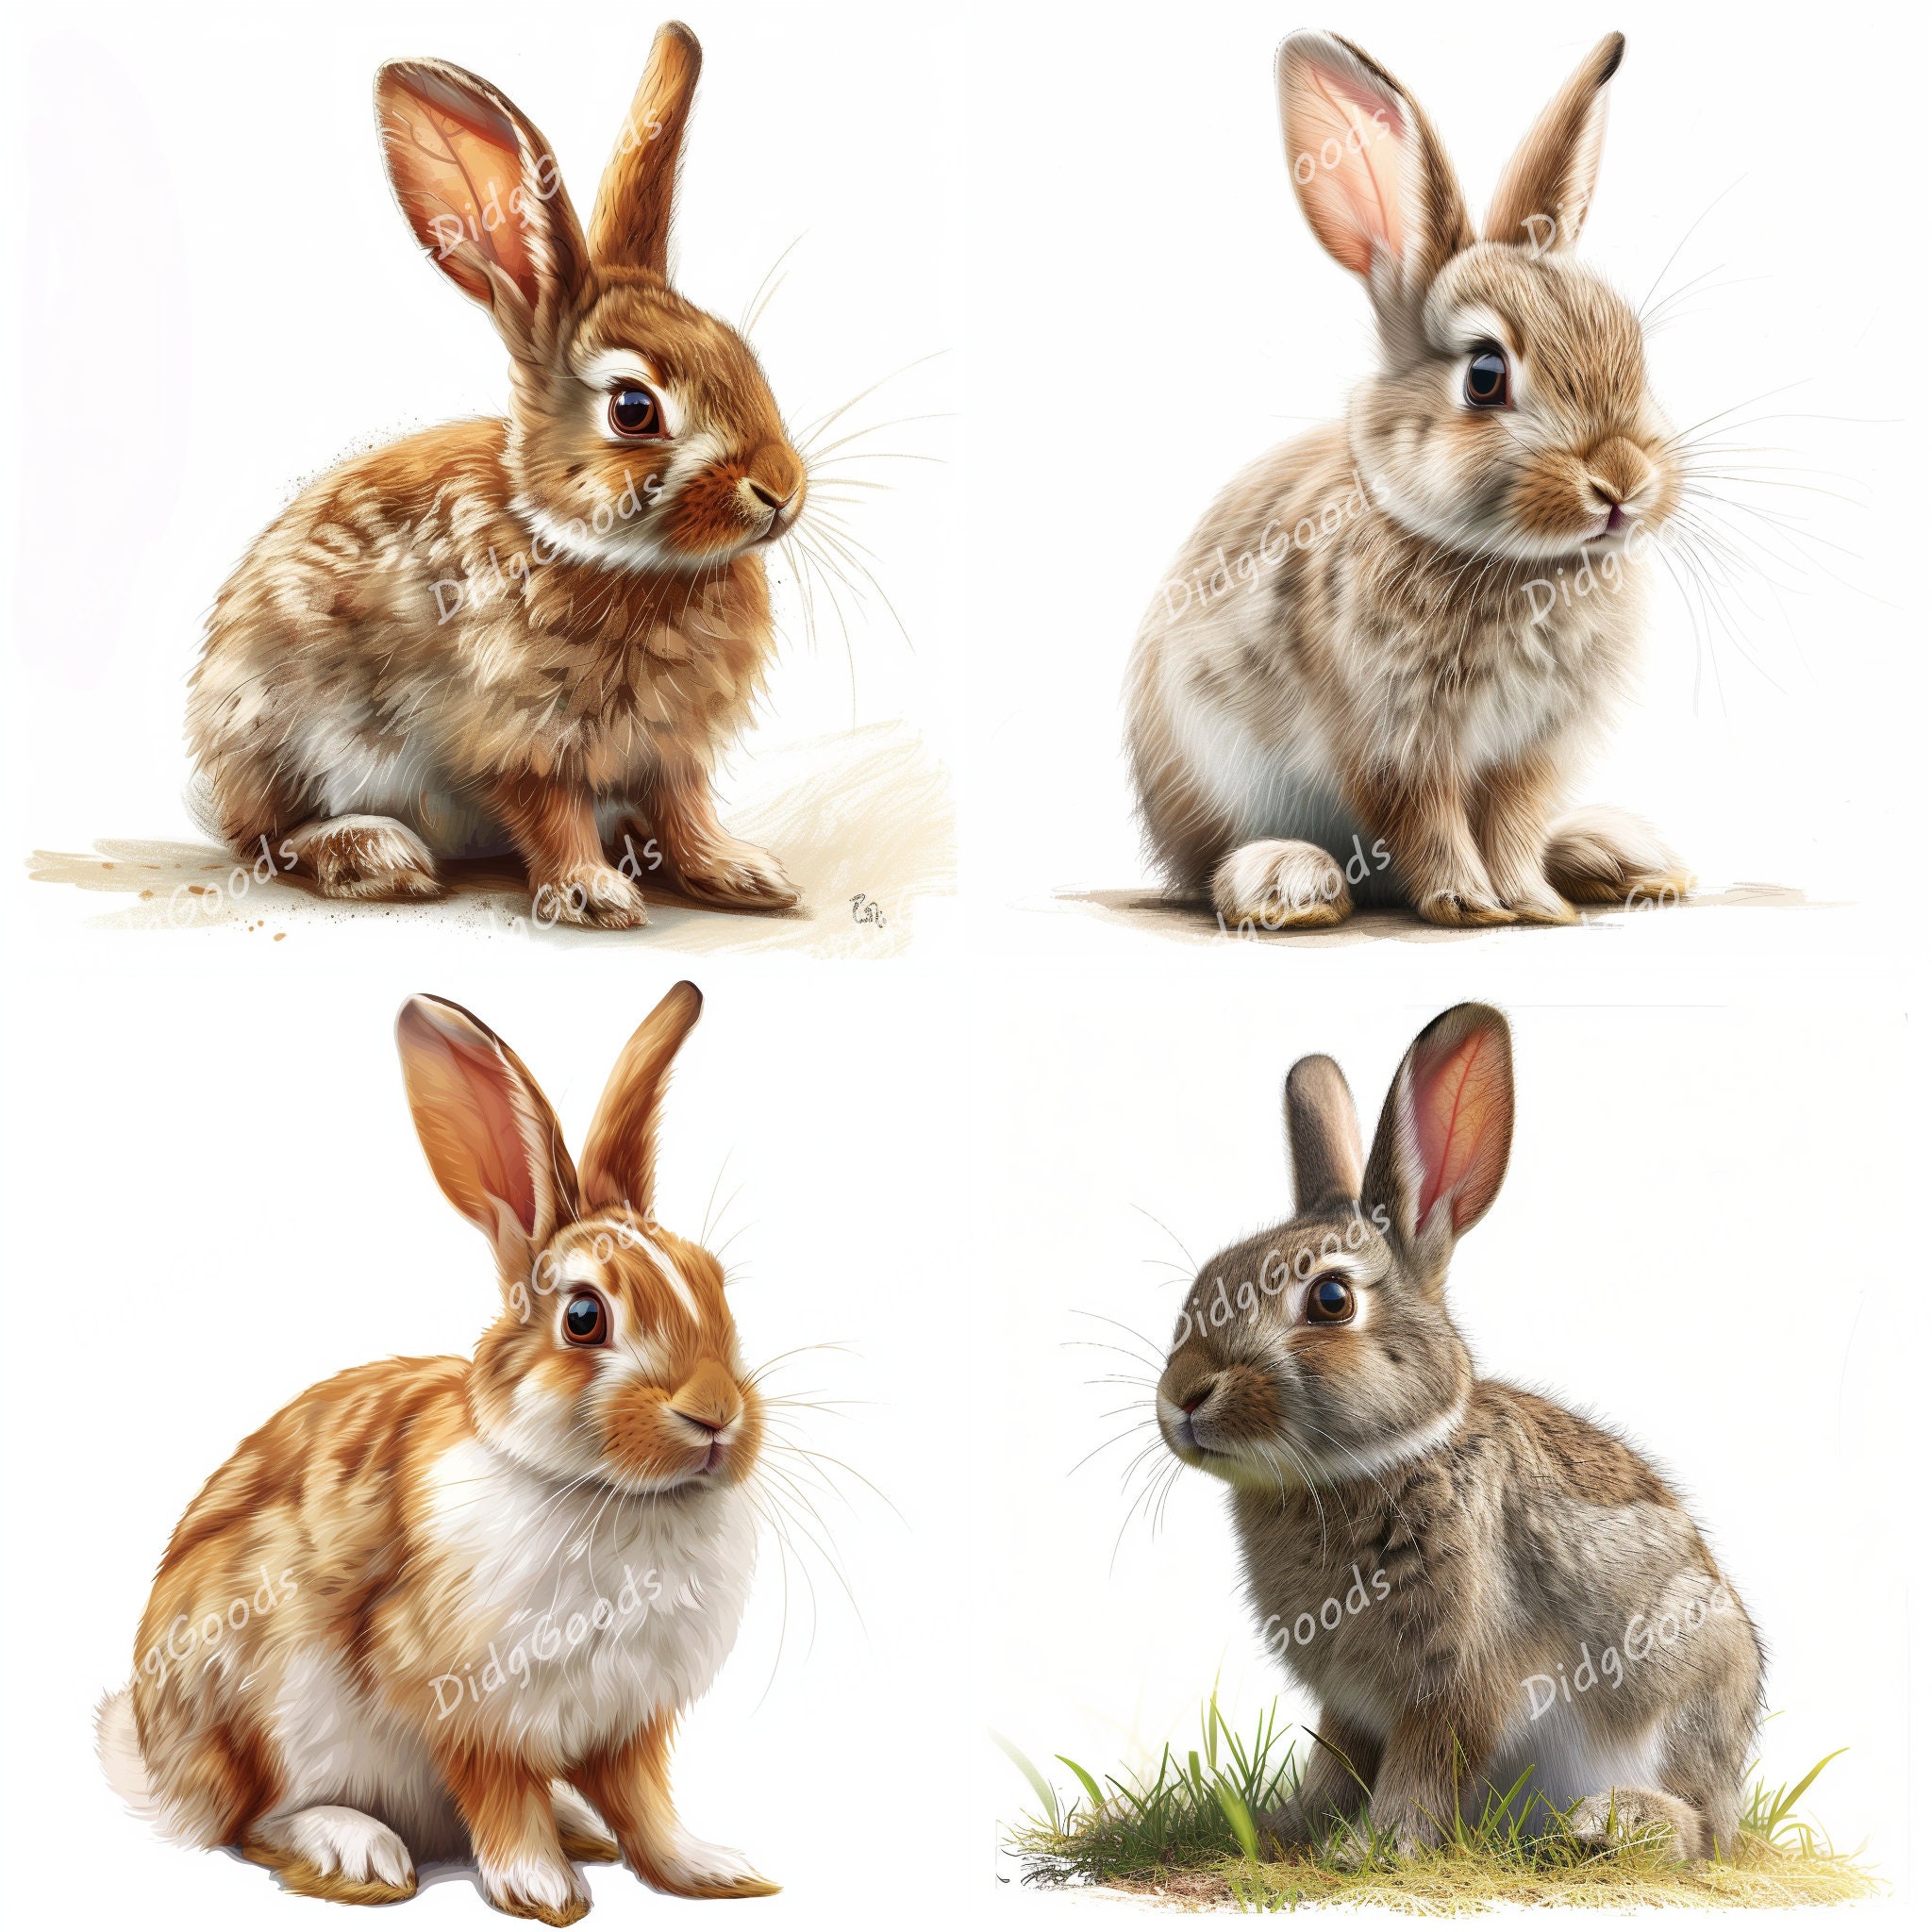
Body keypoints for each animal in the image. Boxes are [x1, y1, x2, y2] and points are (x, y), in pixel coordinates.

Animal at [97, 982, 779, 1920]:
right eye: (584, 1318)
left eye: (715, 1286)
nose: (715, 1416)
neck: (600, 1489)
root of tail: (156, 1765)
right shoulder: (461, 1700)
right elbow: (498, 1791)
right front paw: (540, 1889)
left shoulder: (629, 1722)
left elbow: (646, 1805)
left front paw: (711, 1870)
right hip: (269, 1705)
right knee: (254, 1820)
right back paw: (358, 1850)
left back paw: (575, 1825)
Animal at [186, 24, 807, 929]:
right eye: (634, 409)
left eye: (746, 360)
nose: (781, 491)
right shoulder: (514, 736)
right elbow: (548, 811)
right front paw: (591, 894)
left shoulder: (669, 751)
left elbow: (685, 809)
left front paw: (740, 873)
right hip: (284, 732)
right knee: (268, 837)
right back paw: (375, 854)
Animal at [1125, 32, 1694, 931]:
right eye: (1486, 376)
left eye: (1634, 349)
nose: (1622, 481)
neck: (1516, 565)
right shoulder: (1391, 740)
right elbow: (1424, 819)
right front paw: (1468, 904)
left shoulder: (1531, 752)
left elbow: (1514, 823)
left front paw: (1535, 905)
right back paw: (1290, 882)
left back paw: (1617, 857)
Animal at [1154, 1003, 1762, 1862]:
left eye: (1331, 1299)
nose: (1181, 1396)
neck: (1367, 1467)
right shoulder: (1350, 1701)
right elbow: (1334, 1763)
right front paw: (1282, 1831)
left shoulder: (1462, 1677)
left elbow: (1426, 1765)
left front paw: (1372, 1852)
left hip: (1680, 1690)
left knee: (1701, 1831)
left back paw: (1610, 1824)